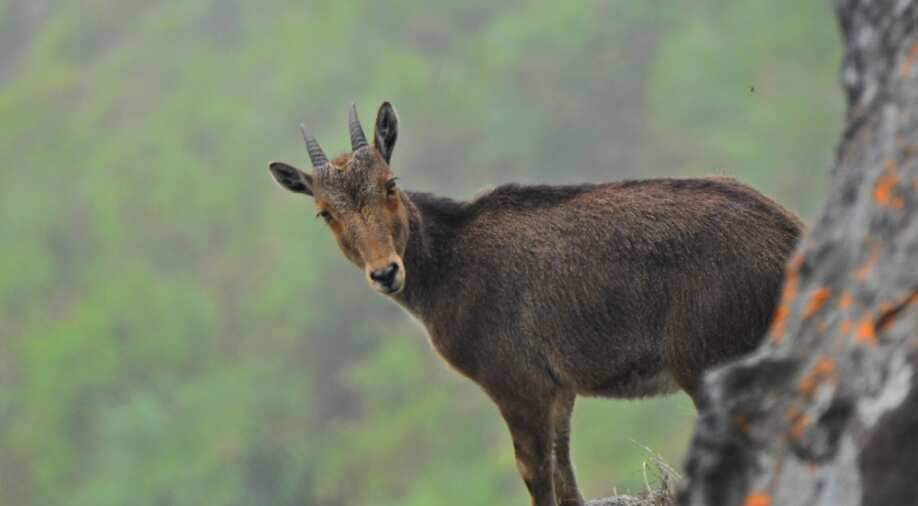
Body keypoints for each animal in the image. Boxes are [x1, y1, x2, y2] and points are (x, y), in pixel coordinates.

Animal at [268, 102, 802, 506]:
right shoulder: (557, 388)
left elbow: (536, 476)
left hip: (708, 357)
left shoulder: (514, 382)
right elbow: (566, 479)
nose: (385, 272)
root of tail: (791, 237)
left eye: (391, 183)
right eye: (324, 212)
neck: (450, 267)